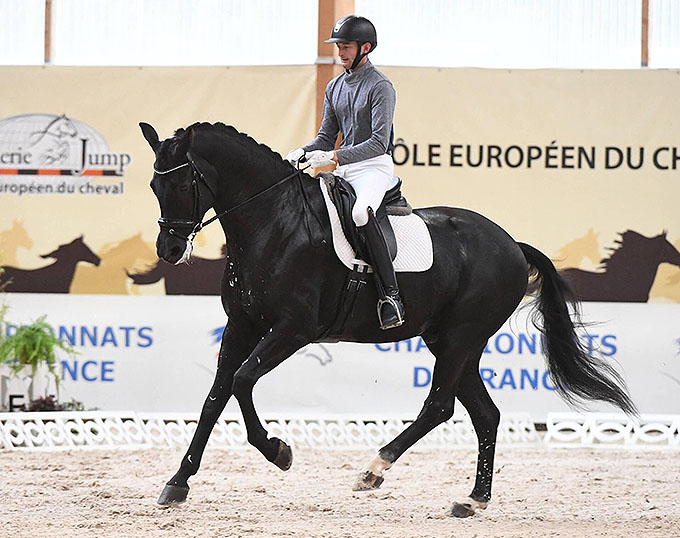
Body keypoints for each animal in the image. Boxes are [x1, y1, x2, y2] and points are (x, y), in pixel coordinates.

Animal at [139, 121, 636, 517]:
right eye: (153, 187)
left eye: (182, 185)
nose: (169, 250)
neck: (273, 223)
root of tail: (513, 244)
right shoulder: (243, 325)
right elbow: (216, 396)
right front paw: (177, 483)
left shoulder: (293, 329)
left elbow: (242, 381)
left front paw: (279, 451)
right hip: (453, 342)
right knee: (485, 414)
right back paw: (473, 499)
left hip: (460, 338)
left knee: (439, 405)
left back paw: (373, 469)